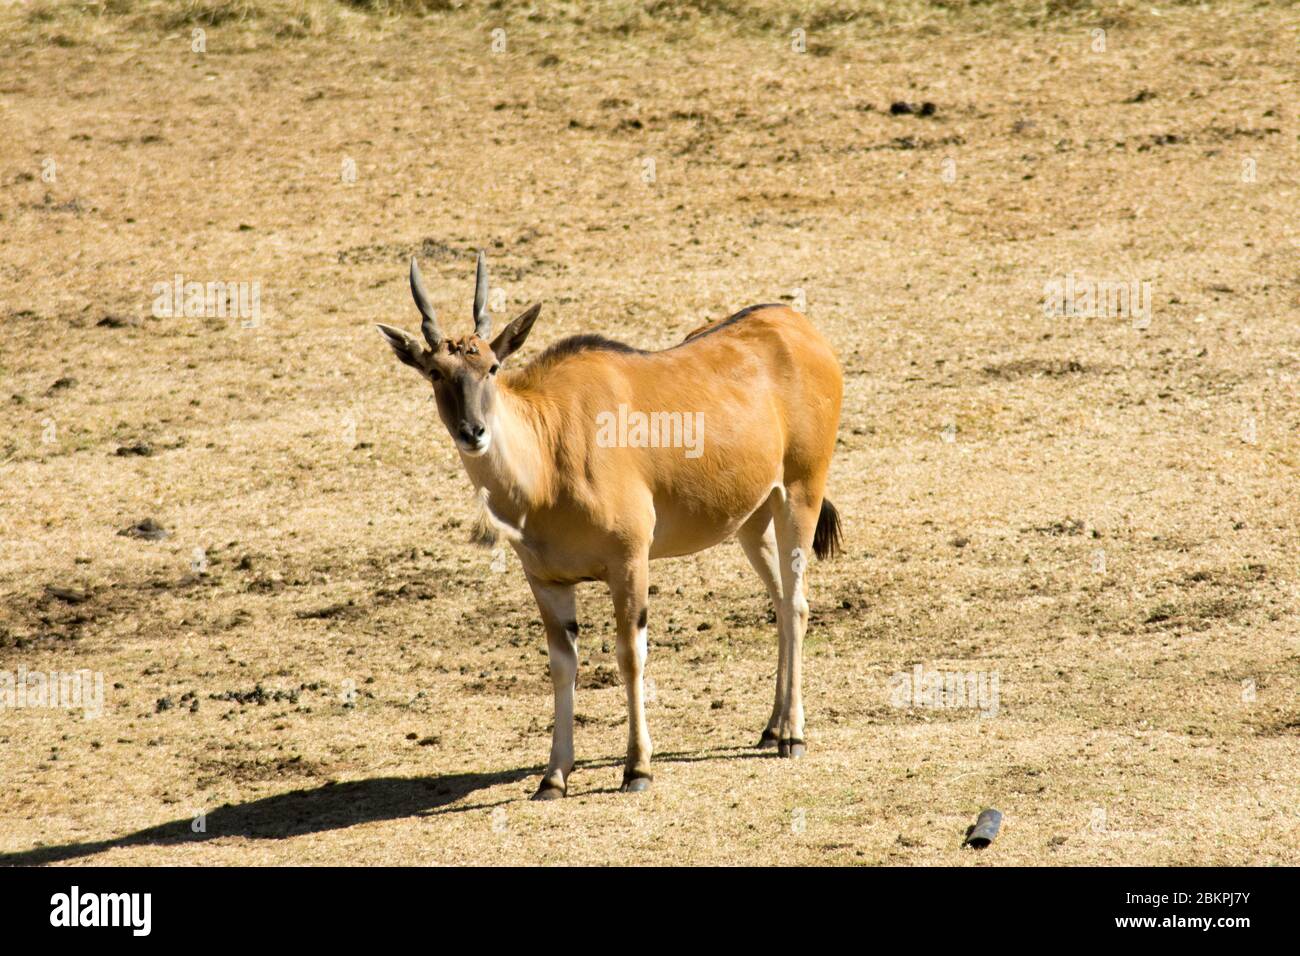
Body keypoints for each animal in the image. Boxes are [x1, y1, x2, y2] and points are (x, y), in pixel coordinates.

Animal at [377, 252, 843, 799]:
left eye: (491, 366)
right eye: (435, 372)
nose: (474, 432)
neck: (550, 445)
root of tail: (797, 327)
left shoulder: (629, 563)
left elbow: (630, 655)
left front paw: (637, 767)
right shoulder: (547, 582)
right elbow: (563, 667)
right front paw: (554, 775)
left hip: (800, 494)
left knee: (796, 603)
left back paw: (793, 733)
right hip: (752, 520)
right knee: (781, 601)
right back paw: (771, 729)